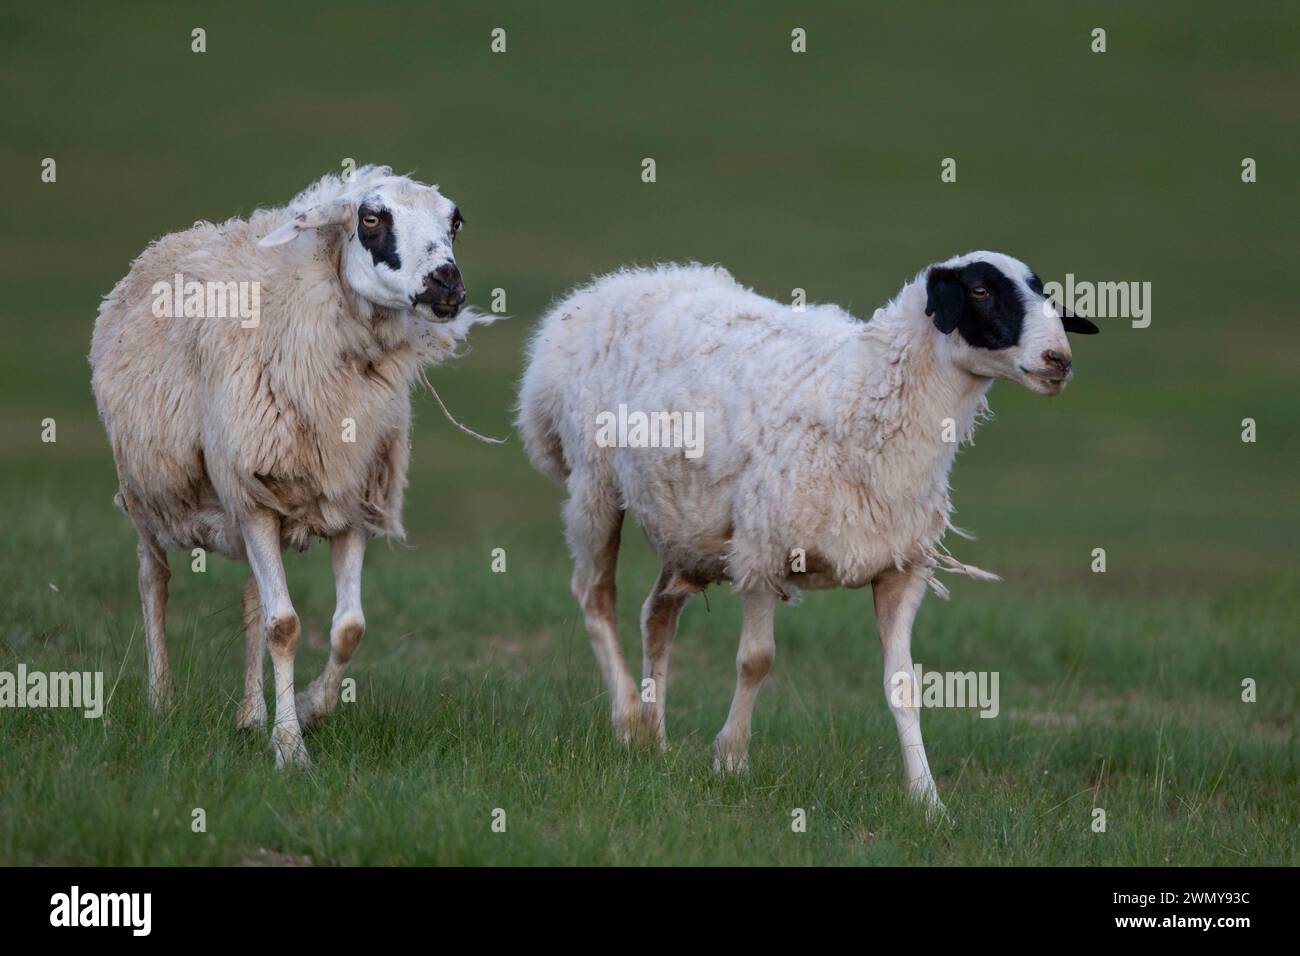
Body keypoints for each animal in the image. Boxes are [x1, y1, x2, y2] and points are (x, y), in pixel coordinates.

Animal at [90, 165, 491, 767]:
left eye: (455, 221)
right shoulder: (251, 498)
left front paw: (305, 710)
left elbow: (347, 629)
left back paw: (249, 715)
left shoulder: (351, 502)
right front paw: (290, 748)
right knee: (153, 580)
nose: (447, 283)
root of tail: (174, 239)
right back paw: (162, 699)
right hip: (147, 493)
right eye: (371, 219)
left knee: (252, 600)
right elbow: (284, 627)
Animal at [517, 251, 1098, 810]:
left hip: (685, 527)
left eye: (1043, 291)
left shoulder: (900, 567)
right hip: (594, 484)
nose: (1059, 360)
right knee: (595, 597)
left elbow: (904, 685)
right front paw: (731, 761)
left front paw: (927, 800)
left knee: (656, 615)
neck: (863, 394)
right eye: (979, 290)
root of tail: (608, 288)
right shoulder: (761, 550)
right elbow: (756, 661)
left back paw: (653, 739)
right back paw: (625, 720)